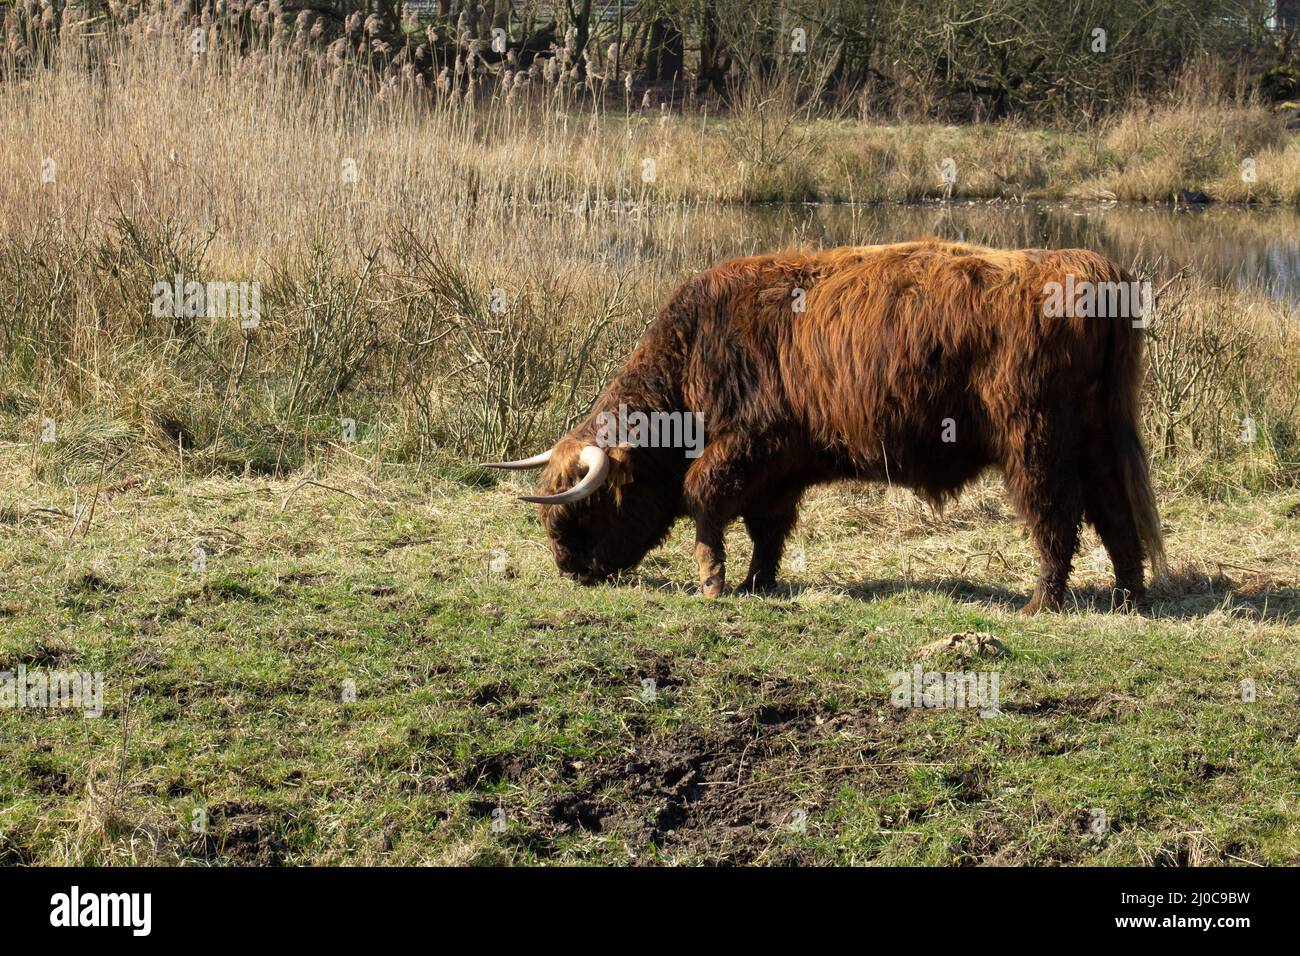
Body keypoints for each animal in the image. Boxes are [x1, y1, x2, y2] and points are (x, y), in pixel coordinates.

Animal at [485, 240, 1166, 612]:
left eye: (590, 507)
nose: (568, 566)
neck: (692, 358)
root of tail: (1092, 267)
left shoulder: (744, 444)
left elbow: (704, 501)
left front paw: (712, 582)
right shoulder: (777, 467)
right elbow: (767, 528)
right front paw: (757, 582)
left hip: (1035, 439)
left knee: (1056, 514)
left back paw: (1039, 602)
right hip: (1096, 435)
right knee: (1115, 509)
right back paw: (1129, 597)